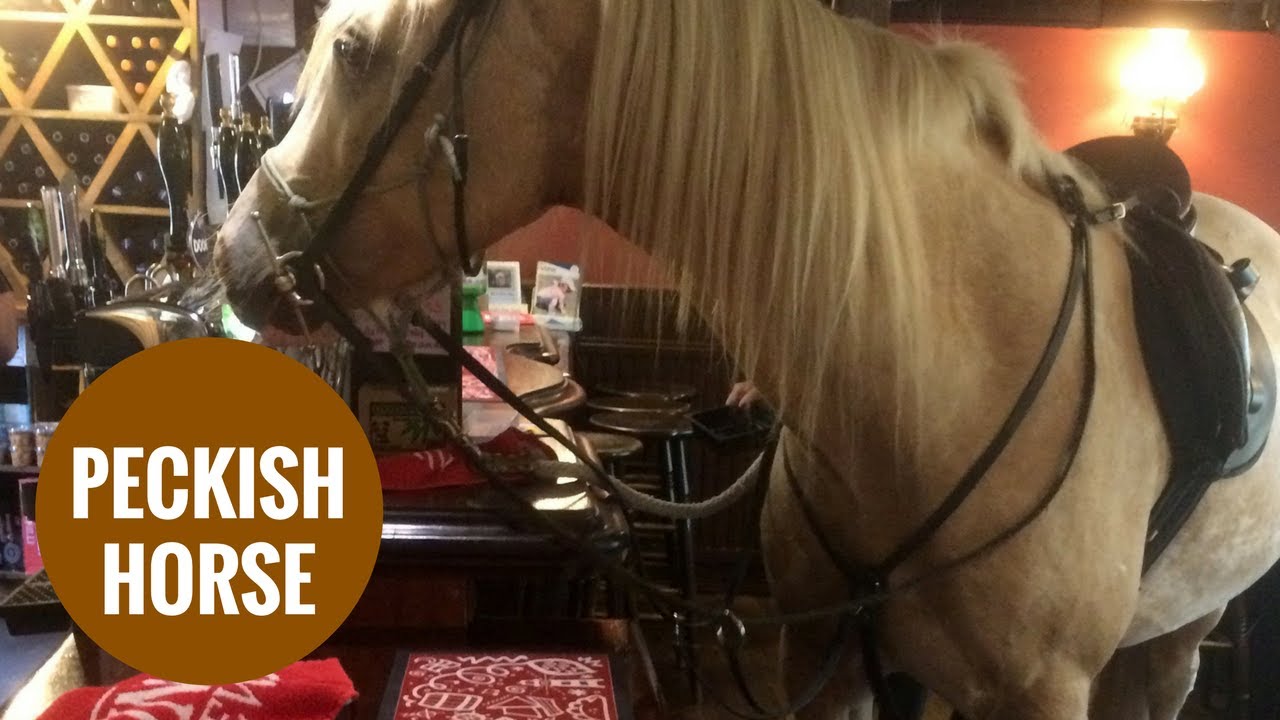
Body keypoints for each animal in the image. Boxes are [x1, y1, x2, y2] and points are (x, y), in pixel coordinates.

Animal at [212, 1, 1280, 717]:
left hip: (1185, 625)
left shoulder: (1038, 691)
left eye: (352, 49)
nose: (235, 254)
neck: (944, 367)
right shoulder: (824, 657)